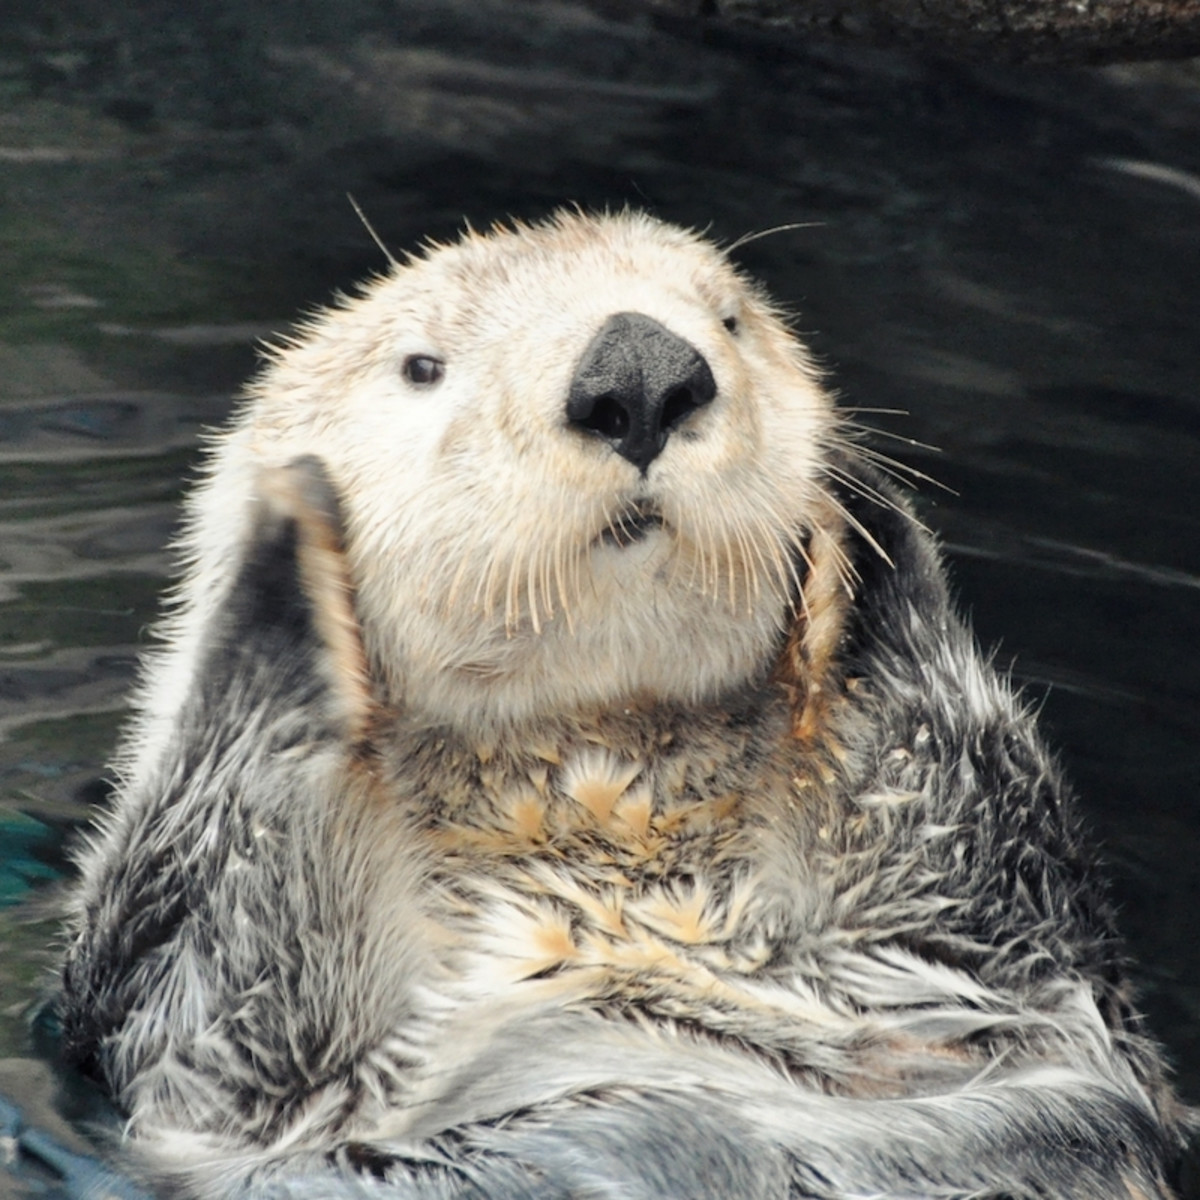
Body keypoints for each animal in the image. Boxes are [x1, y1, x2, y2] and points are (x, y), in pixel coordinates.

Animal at [61, 211, 1189, 1198]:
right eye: (421, 367)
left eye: (730, 318)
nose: (640, 369)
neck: (597, 807)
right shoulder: (199, 1037)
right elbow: (242, 949)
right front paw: (287, 549)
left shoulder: (1000, 974)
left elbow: (977, 841)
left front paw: (862, 527)